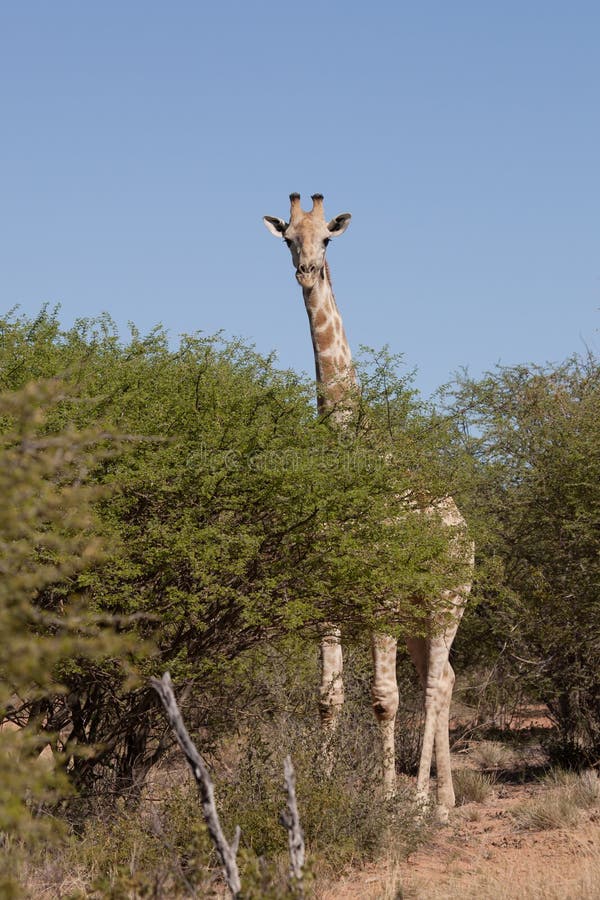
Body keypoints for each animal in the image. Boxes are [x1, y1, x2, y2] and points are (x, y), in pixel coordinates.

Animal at [263, 193, 473, 820]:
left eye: (328, 238)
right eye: (289, 239)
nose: (307, 272)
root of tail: (465, 531)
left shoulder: (380, 596)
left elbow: (384, 698)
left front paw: (385, 802)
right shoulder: (324, 598)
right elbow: (326, 697)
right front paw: (323, 785)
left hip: (447, 601)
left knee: (432, 686)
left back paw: (423, 801)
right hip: (420, 618)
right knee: (445, 675)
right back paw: (446, 800)